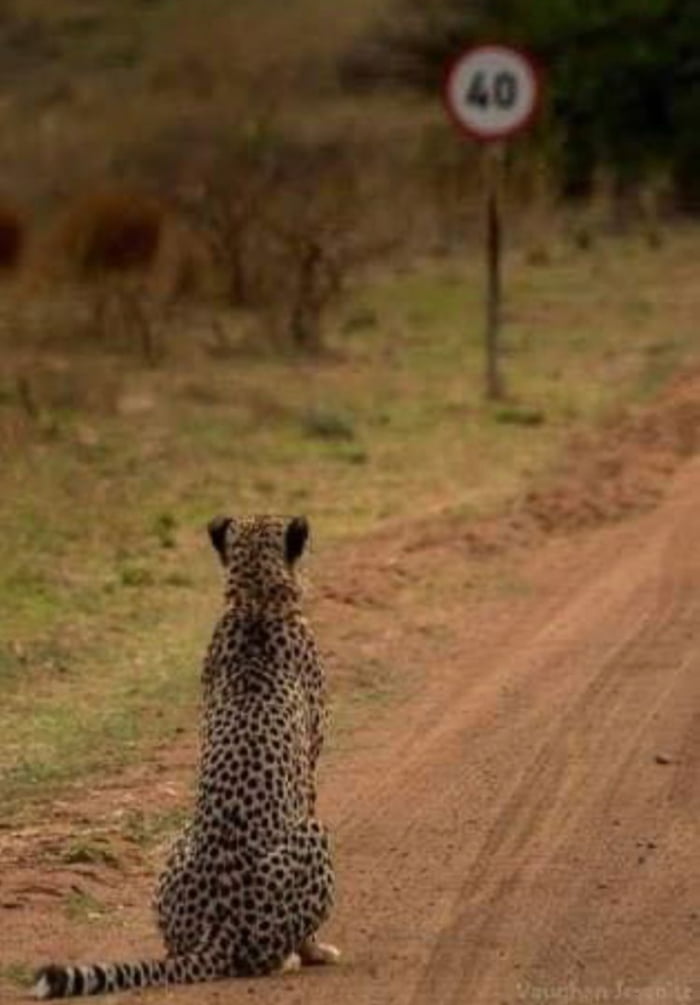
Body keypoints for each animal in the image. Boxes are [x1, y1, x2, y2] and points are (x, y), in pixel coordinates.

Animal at [32, 513, 339, 999]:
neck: (254, 600)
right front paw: (316, 950)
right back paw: (294, 957)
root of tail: (217, 929)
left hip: (178, 845)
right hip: (314, 831)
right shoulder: (309, 770)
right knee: (264, 958)